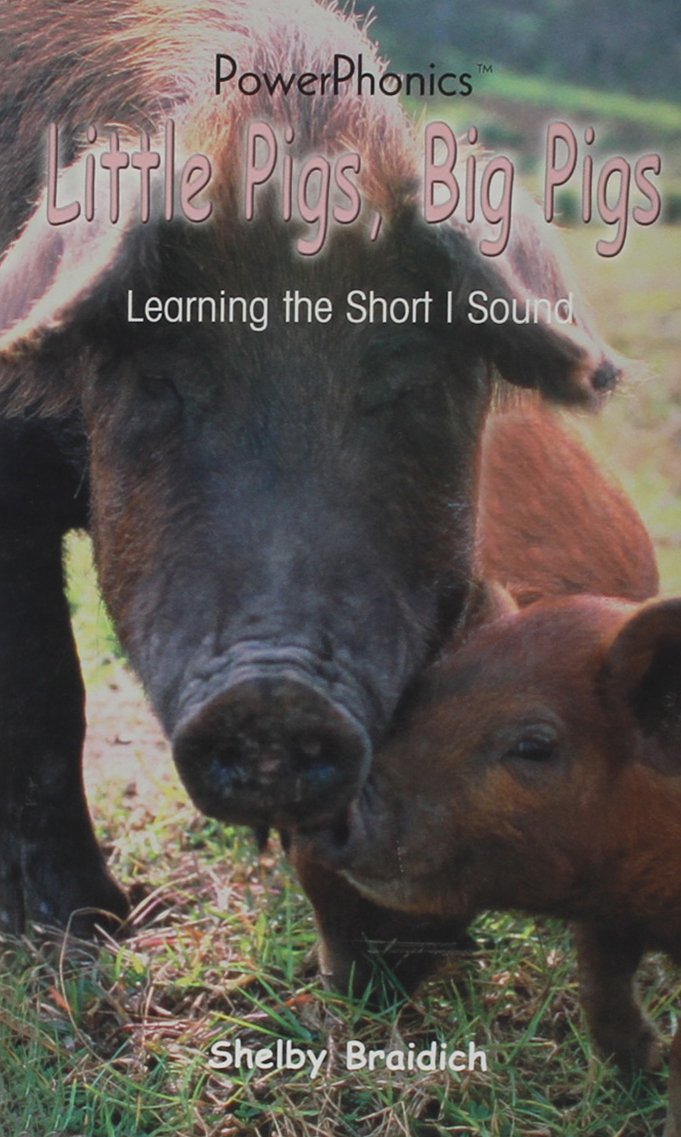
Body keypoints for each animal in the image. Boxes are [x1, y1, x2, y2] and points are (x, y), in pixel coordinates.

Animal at [295, 590, 681, 1134]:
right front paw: (642, 1064)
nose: (333, 805)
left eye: (535, 747)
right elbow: (598, 983)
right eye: (419, 700)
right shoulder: (604, 909)